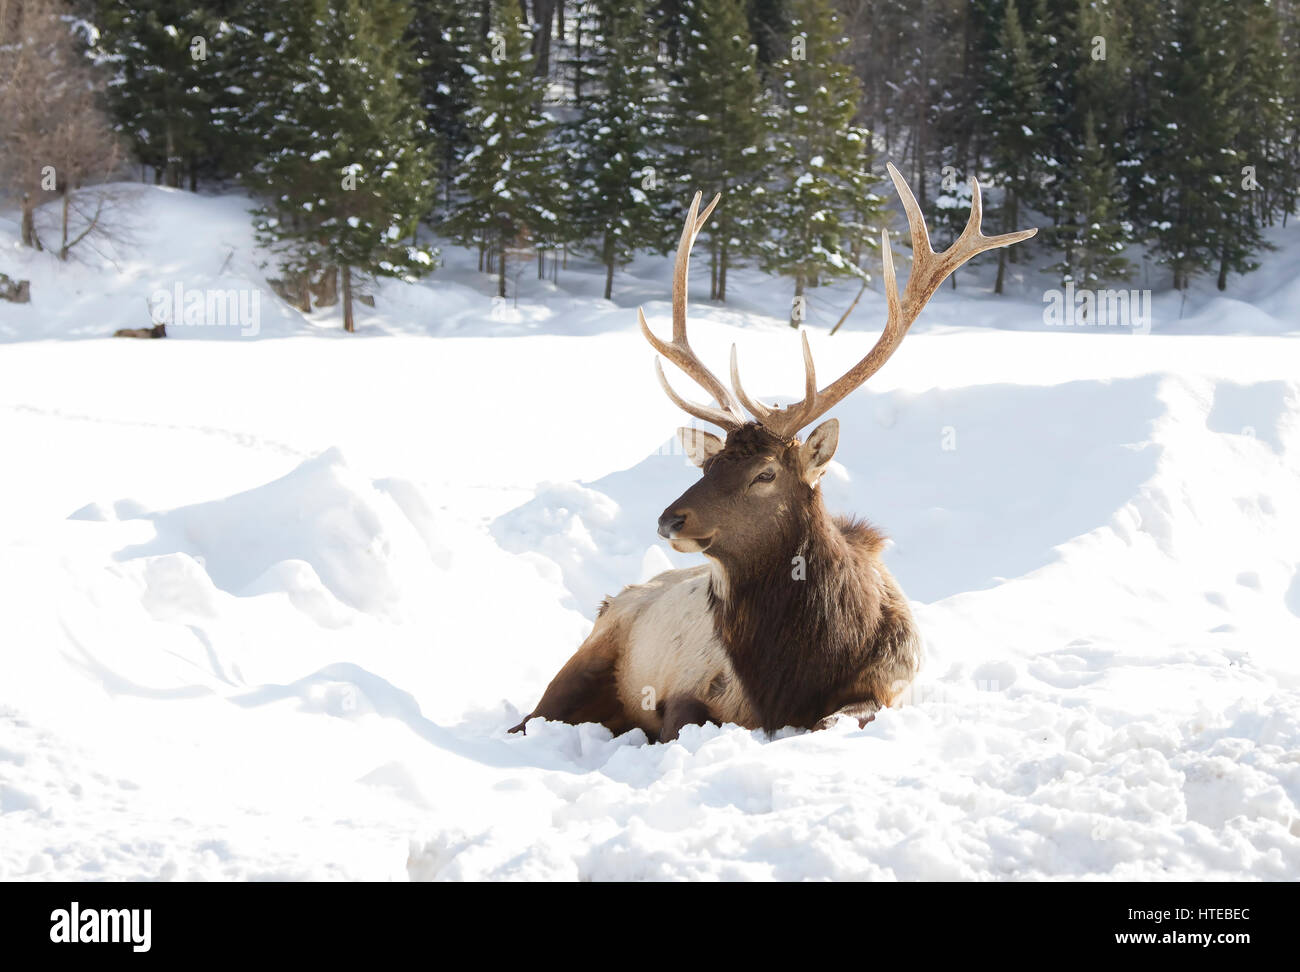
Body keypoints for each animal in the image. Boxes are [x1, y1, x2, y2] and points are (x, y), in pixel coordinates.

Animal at [510, 163, 1036, 742]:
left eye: (764, 474)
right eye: (707, 464)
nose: (669, 520)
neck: (797, 669)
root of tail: (612, 599)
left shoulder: (890, 684)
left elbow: (834, 719)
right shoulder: (691, 689)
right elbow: (683, 720)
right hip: (590, 654)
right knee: (531, 718)